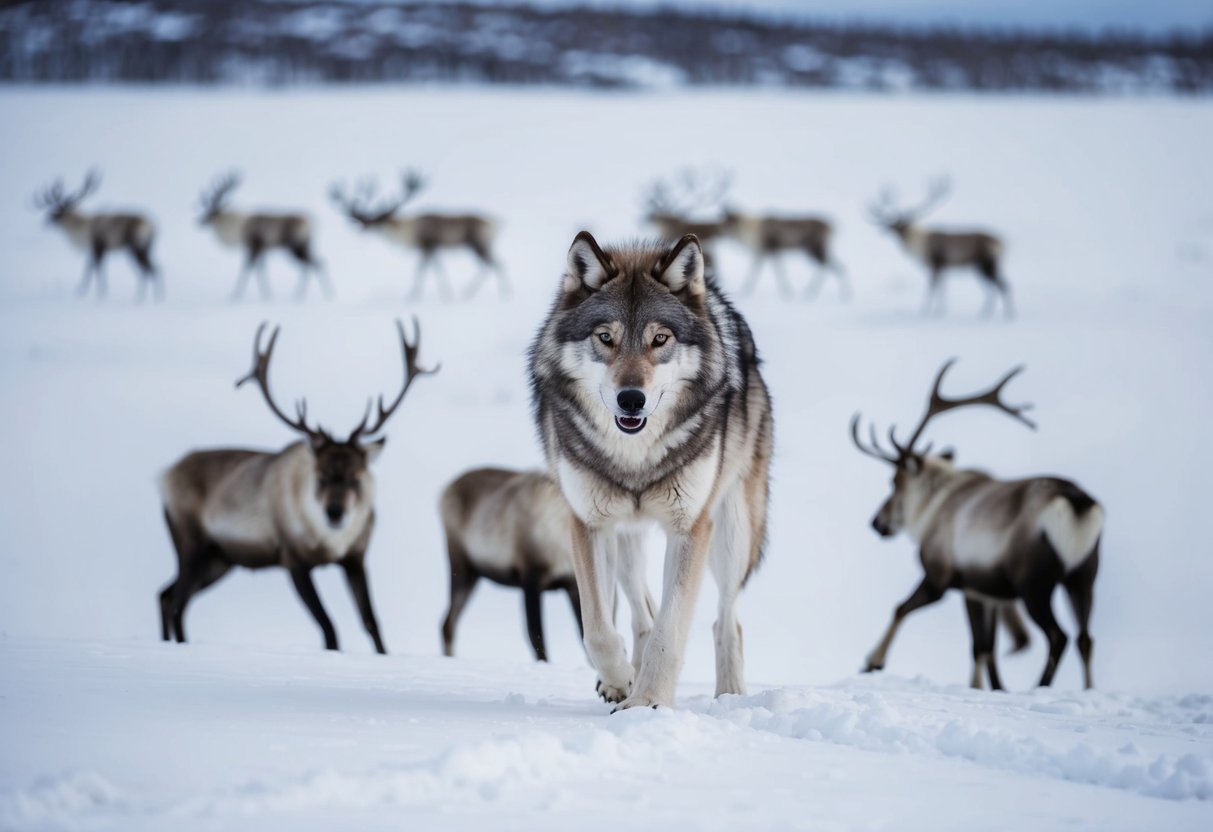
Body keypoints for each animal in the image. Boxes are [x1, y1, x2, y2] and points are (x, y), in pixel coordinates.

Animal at [529, 231, 774, 710]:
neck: (634, 458)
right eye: (606, 337)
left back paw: (730, 695)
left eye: (660, 339)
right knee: (639, 605)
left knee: (725, 618)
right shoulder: (587, 523)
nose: (631, 399)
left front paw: (649, 702)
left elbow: (670, 628)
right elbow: (598, 629)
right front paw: (622, 680)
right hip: (627, 533)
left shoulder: (690, 526)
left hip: (732, 533)